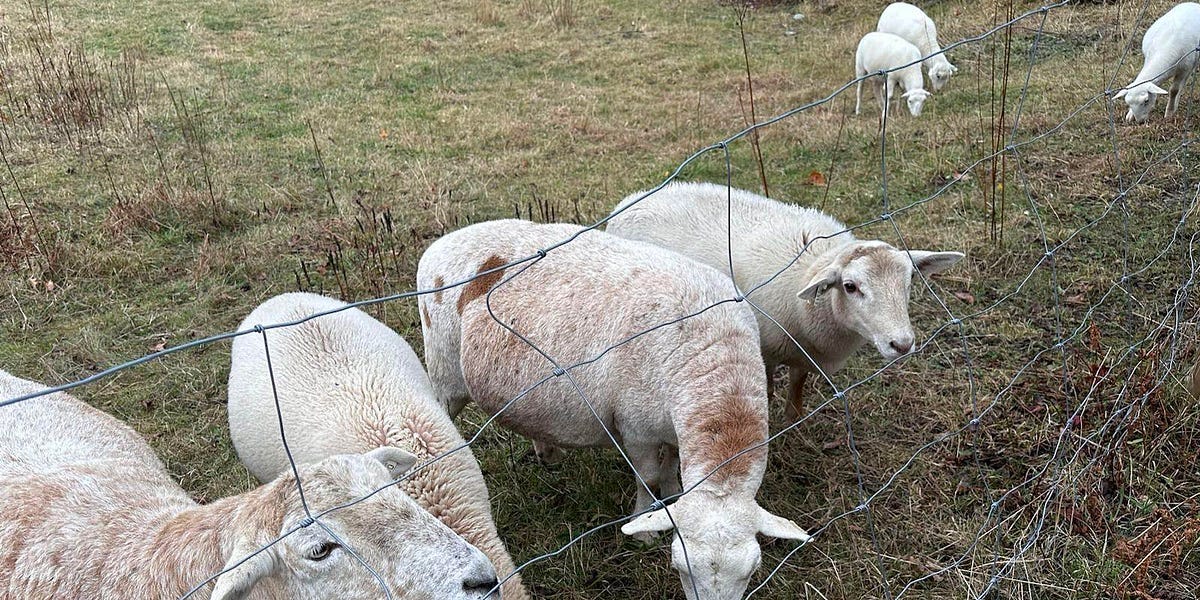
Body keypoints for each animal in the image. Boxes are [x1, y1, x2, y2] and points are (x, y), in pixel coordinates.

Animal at [417, 219, 812, 600]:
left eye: (752, 570)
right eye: (678, 566)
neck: (716, 361)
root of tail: (441, 244)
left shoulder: (669, 426)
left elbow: (671, 465)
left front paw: (672, 493)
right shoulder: (637, 429)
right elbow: (648, 476)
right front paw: (646, 526)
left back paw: (547, 452)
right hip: (443, 371)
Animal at [605, 182, 964, 422]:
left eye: (909, 282)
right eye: (850, 286)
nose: (902, 344)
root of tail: (629, 202)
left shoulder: (805, 350)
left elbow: (798, 381)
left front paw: (794, 415)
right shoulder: (766, 345)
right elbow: (764, 386)